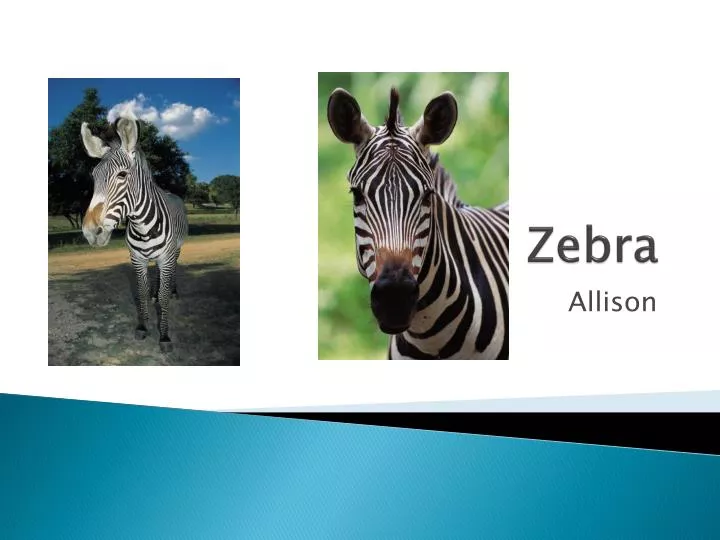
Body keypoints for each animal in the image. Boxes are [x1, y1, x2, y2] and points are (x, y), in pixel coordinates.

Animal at [80, 117, 189, 353]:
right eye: (94, 177)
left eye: (122, 175)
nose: (90, 232)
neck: (142, 227)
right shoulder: (137, 259)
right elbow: (141, 291)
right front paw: (143, 326)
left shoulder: (165, 258)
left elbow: (164, 297)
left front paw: (164, 336)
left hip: (176, 250)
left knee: (172, 272)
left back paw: (173, 291)